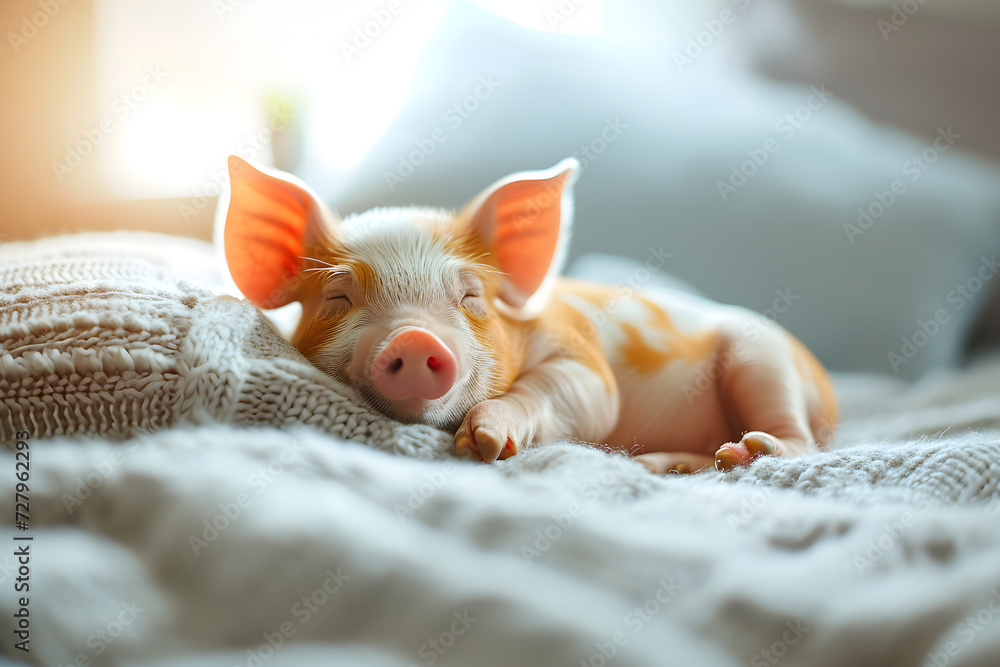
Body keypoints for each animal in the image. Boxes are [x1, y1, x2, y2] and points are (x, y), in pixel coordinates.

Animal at [221, 155, 837, 473]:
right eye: (338, 299)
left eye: (471, 296)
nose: (415, 340)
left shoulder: (584, 361)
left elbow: (576, 396)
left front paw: (486, 443)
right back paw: (667, 465)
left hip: (764, 359)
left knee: (798, 441)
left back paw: (746, 452)